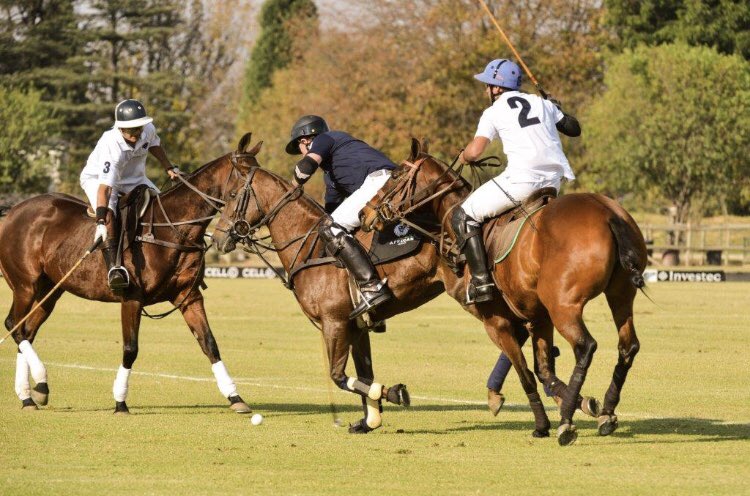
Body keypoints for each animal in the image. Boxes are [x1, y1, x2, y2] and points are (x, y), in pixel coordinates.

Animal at [0, 132, 264, 414]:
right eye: (247, 180)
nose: (242, 230)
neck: (172, 229)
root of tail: (12, 211)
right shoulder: (132, 298)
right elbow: (130, 348)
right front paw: (120, 401)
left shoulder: (189, 296)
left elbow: (209, 343)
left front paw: (235, 398)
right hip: (25, 285)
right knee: (13, 326)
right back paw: (40, 384)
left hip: (50, 290)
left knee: (26, 330)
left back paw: (29, 396)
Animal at [212, 144, 600, 442]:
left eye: (231, 196)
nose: (217, 238)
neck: (308, 246)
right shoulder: (357, 326)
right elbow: (363, 373)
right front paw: (368, 420)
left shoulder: (334, 323)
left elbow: (340, 376)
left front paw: (394, 394)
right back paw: (569, 401)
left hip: (477, 297)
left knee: (518, 335)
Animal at [362, 140, 648, 446]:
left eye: (395, 175)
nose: (364, 214)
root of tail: (608, 214)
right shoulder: (538, 318)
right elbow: (544, 370)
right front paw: (581, 404)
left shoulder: (496, 322)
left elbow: (526, 374)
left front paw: (543, 423)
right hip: (620, 294)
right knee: (628, 345)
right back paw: (606, 413)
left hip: (564, 306)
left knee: (585, 346)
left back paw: (566, 425)